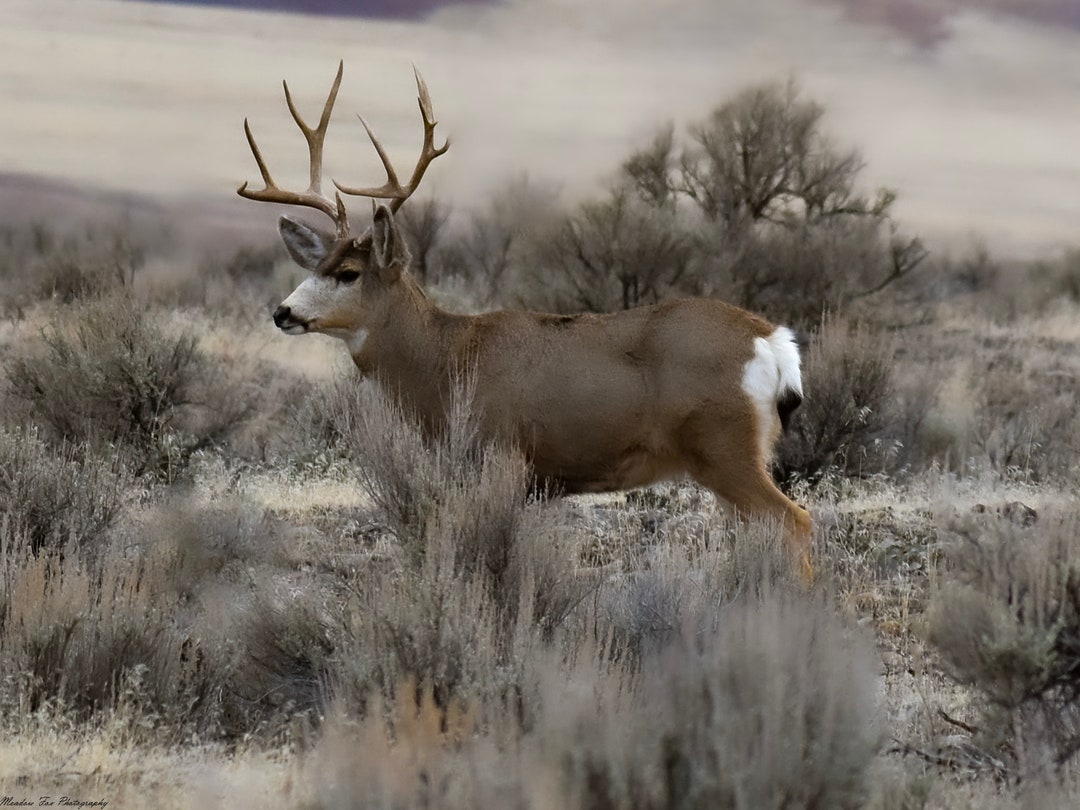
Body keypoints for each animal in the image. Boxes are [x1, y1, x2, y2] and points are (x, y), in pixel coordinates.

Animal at [238, 61, 813, 569]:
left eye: (349, 273)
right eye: (317, 264)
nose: (283, 312)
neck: (444, 360)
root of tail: (772, 340)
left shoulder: (501, 457)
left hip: (724, 445)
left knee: (796, 522)